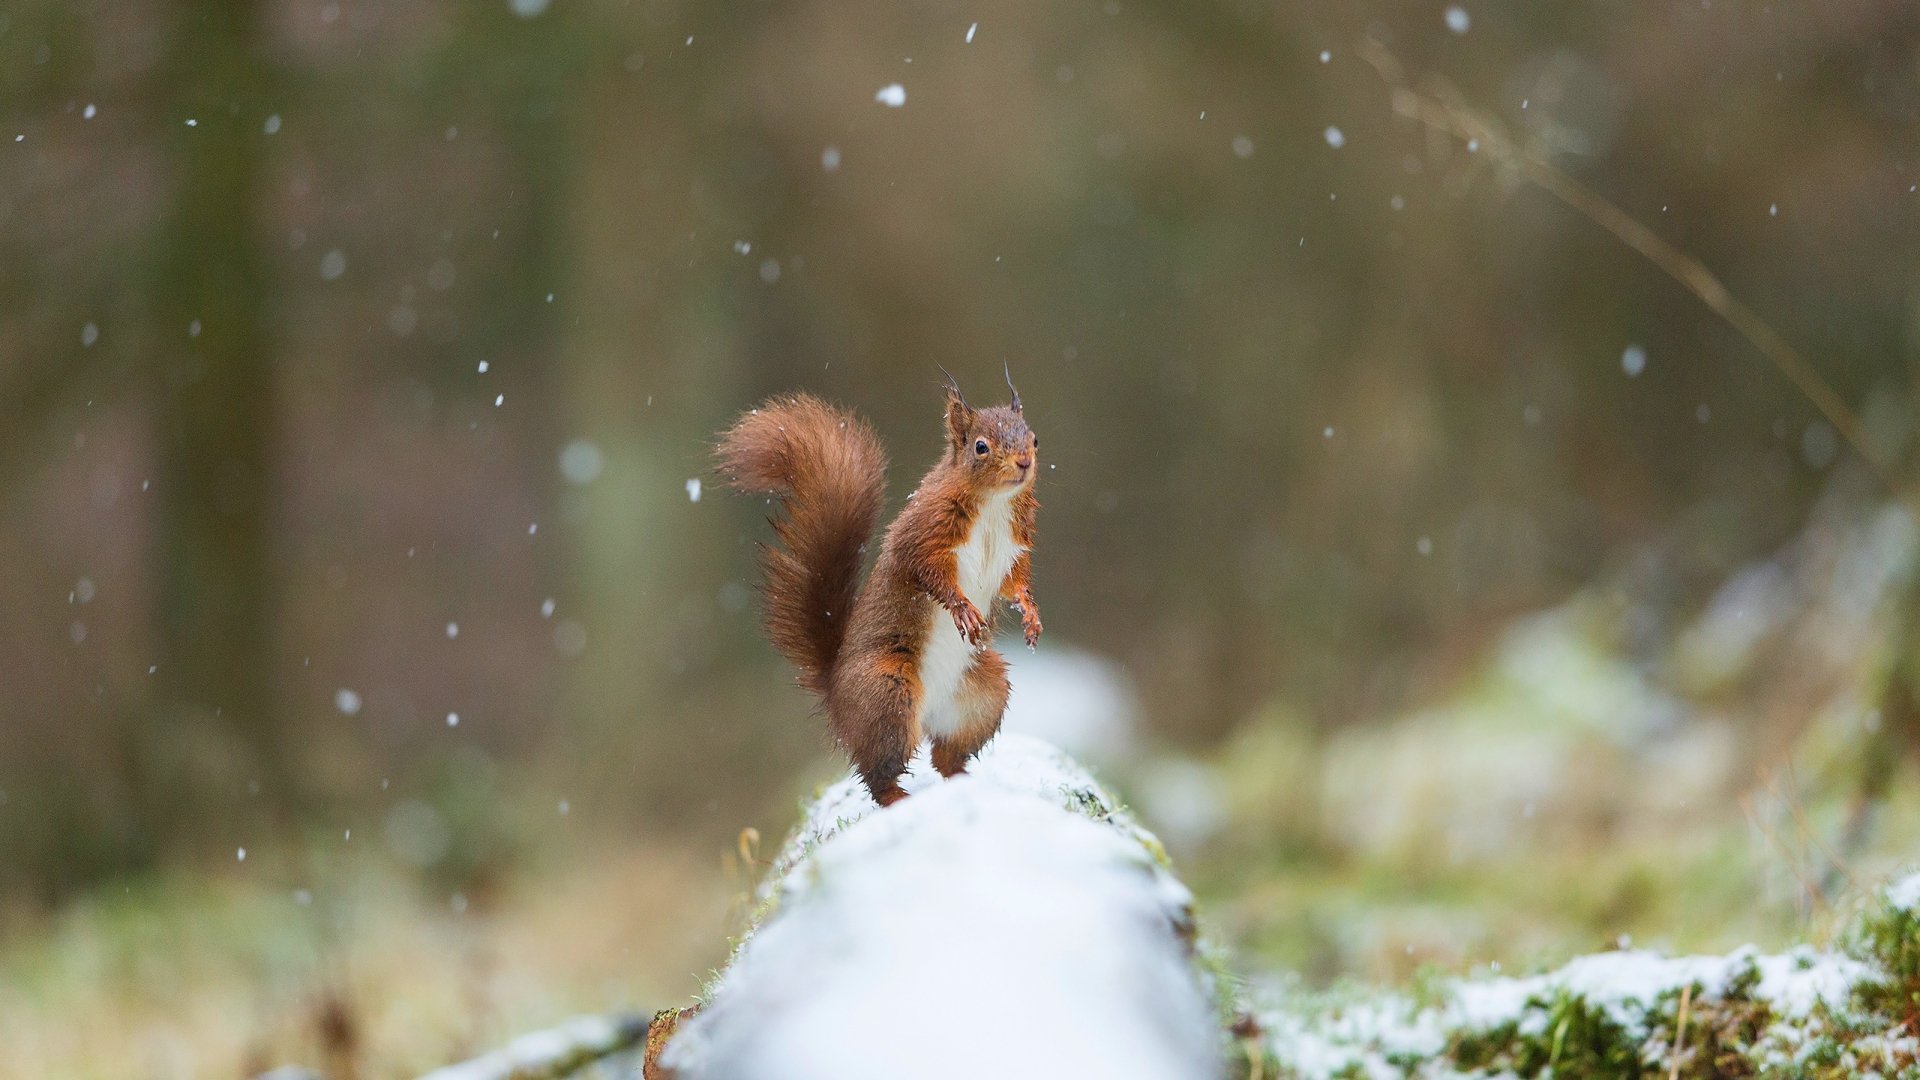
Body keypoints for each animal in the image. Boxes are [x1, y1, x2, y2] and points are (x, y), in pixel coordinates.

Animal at [715, 371, 1041, 807]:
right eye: (981, 446)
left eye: (1034, 439)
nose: (1024, 462)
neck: (993, 504)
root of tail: (836, 692)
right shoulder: (923, 536)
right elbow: (930, 574)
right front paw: (962, 608)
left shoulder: (1013, 549)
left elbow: (1015, 583)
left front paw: (1031, 614)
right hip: (887, 691)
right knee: (878, 771)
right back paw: (896, 797)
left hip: (984, 694)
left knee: (943, 756)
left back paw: (966, 779)